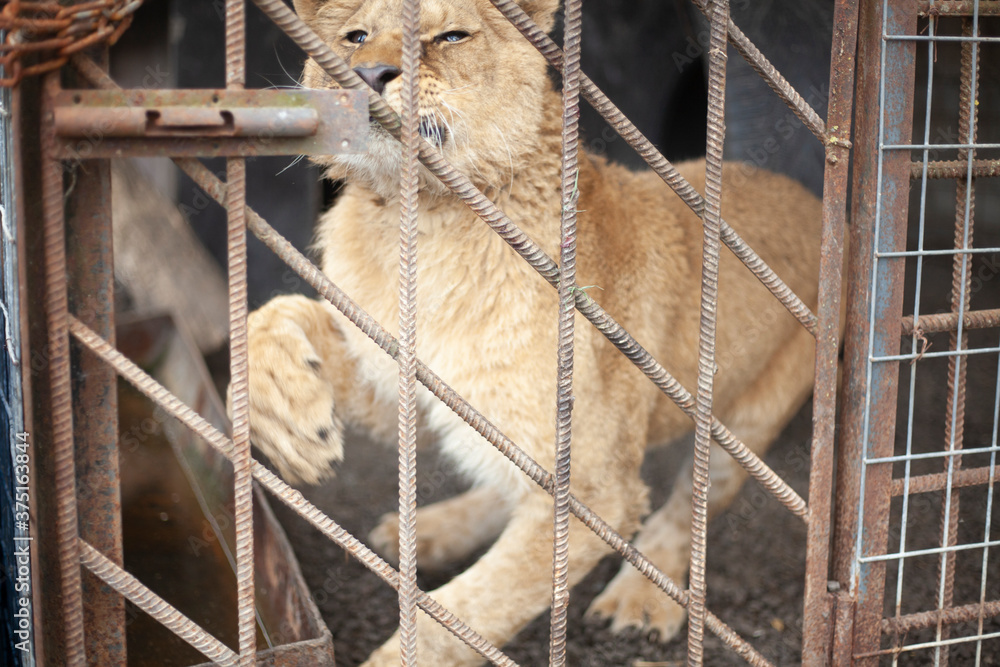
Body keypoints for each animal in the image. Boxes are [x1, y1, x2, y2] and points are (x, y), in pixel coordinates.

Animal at [241, 0, 821, 664]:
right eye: (354, 37)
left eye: (452, 36)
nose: (367, 74)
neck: (426, 227)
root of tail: (813, 200)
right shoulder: (406, 377)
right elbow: (275, 313)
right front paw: (289, 421)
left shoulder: (593, 487)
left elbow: (465, 613)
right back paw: (432, 529)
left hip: (753, 413)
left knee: (689, 505)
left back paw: (642, 599)